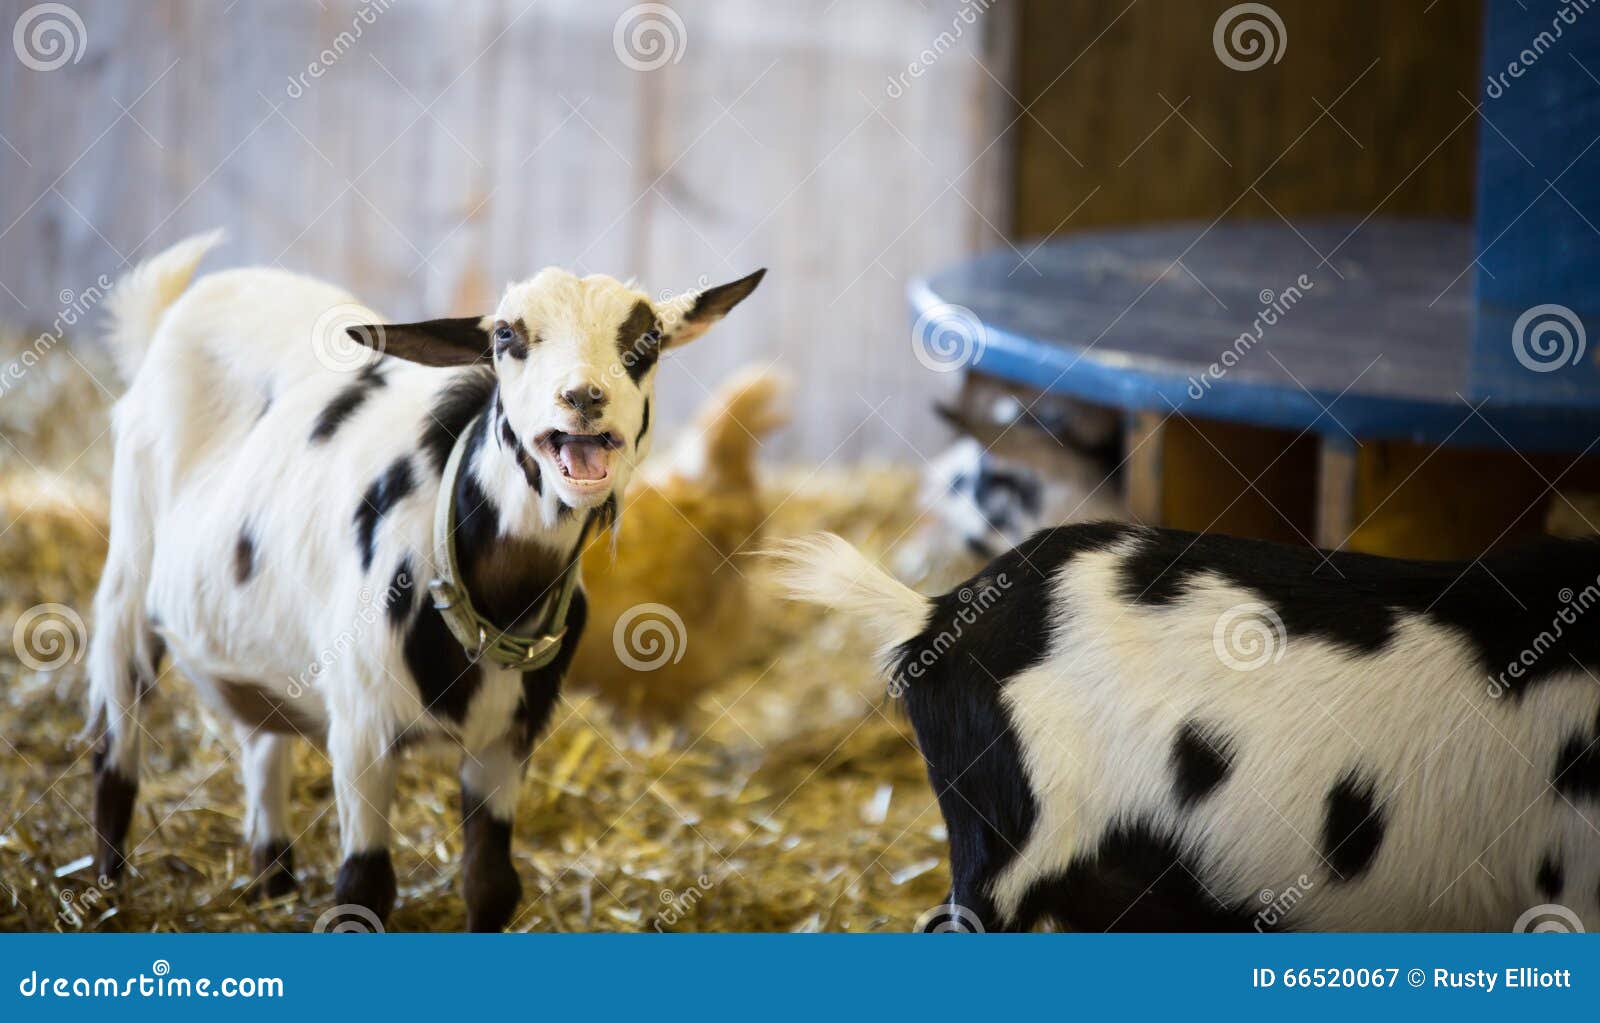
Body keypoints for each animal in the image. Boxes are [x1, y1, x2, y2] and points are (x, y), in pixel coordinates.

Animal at [85, 231, 762, 931]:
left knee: (263, 739)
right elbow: (362, 889)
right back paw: (108, 892)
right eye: (506, 336)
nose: (583, 398)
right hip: (128, 570)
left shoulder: (506, 739)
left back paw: (273, 881)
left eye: (647, 341)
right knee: (115, 749)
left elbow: (491, 884)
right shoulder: (360, 727)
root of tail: (181, 304)